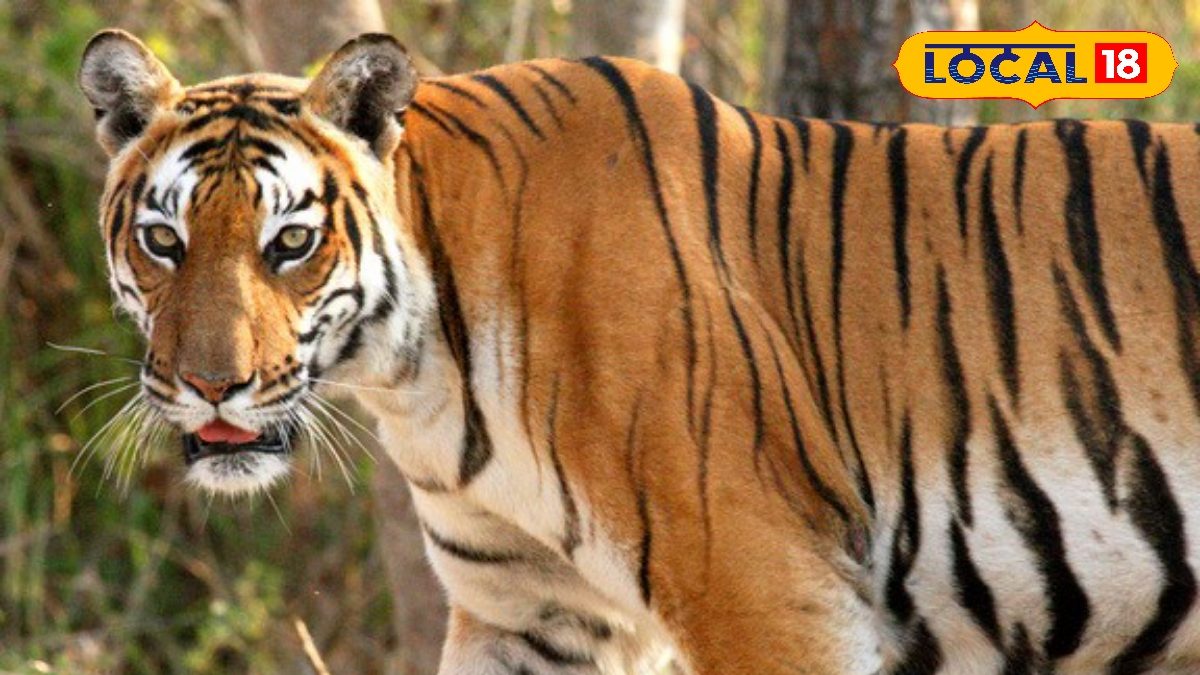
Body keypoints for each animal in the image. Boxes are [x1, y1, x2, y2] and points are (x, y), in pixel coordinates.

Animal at [77, 26, 1200, 674]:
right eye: (164, 241)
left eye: (291, 243)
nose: (210, 386)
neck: (422, 378)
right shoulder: (529, 612)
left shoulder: (766, 593)